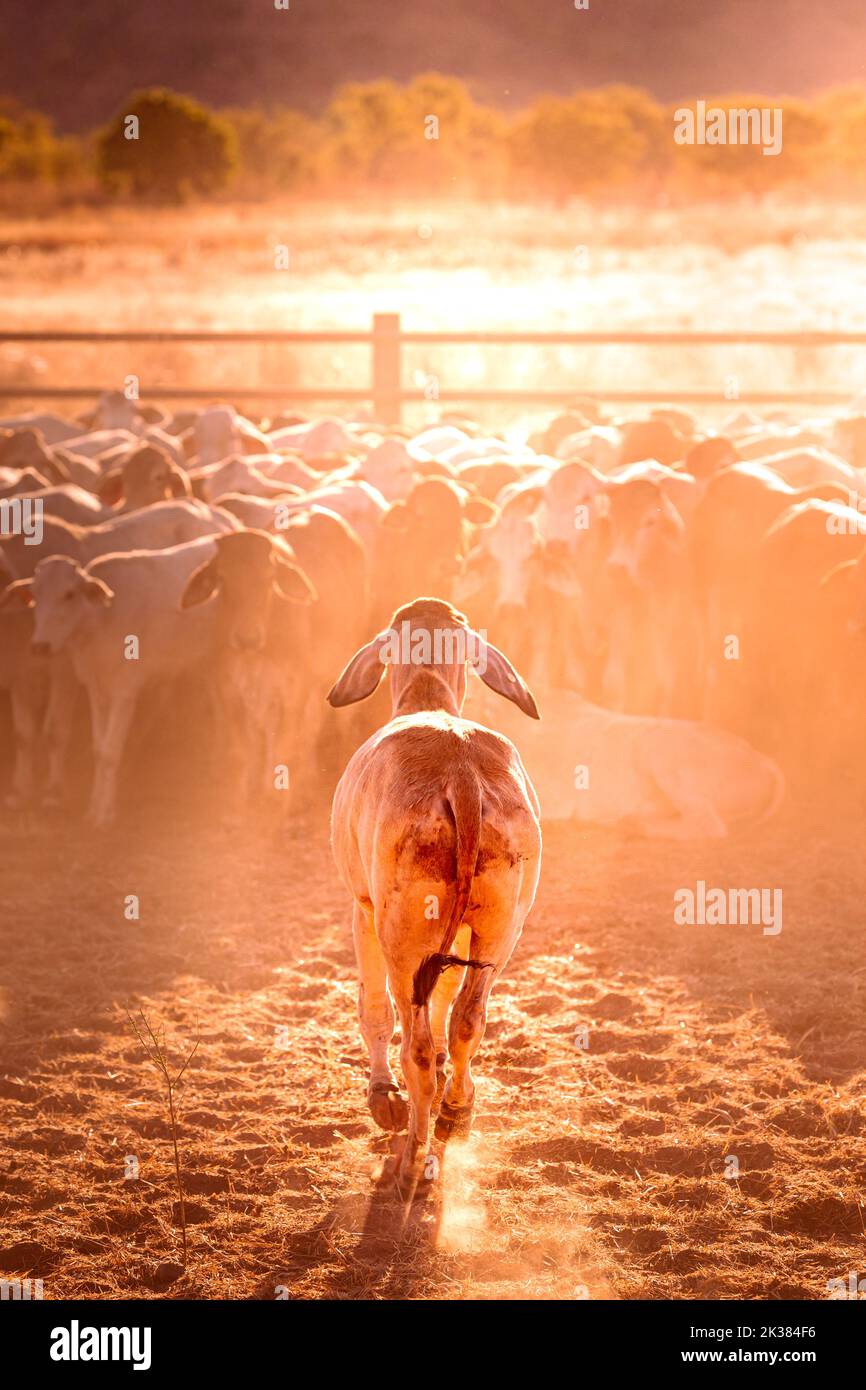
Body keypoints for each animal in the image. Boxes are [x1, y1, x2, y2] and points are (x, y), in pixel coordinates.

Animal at [328, 597, 542, 1198]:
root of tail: (461, 771)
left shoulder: (362, 909)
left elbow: (374, 1010)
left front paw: (382, 1099)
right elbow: (447, 1002)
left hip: (400, 935)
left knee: (416, 1048)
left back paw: (412, 1162)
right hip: (502, 927)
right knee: (468, 1019)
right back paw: (457, 1110)